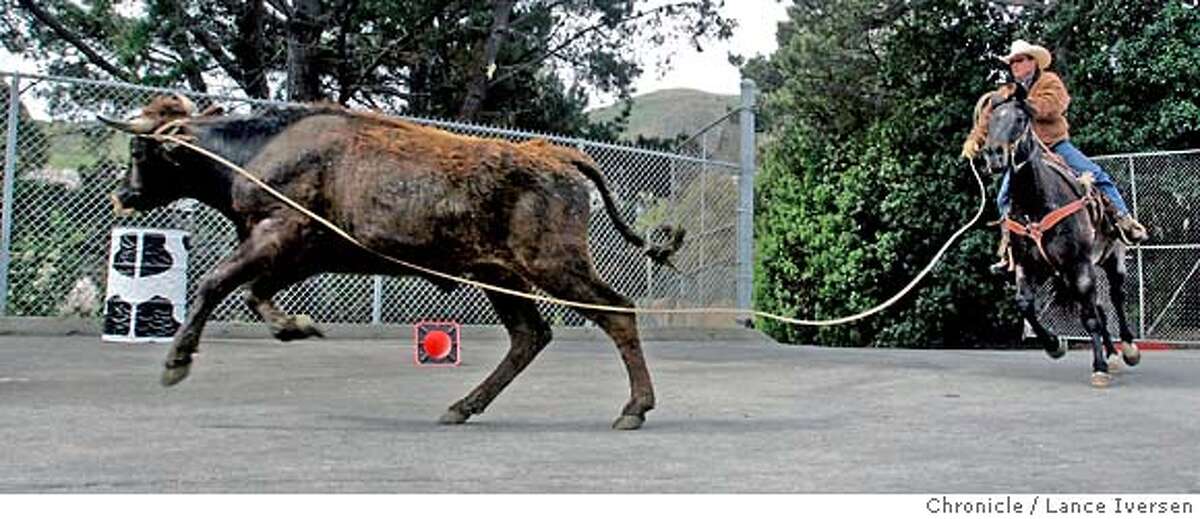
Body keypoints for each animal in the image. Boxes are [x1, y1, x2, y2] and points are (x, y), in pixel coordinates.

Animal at [99, 94, 684, 430]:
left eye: (140, 152)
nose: (123, 195)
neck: (260, 149)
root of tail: (555, 153)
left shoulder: (278, 235)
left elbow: (215, 285)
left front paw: (176, 364)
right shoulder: (300, 253)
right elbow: (253, 293)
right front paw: (297, 327)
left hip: (553, 267)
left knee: (617, 313)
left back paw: (634, 410)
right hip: (498, 275)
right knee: (529, 335)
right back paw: (462, 407)